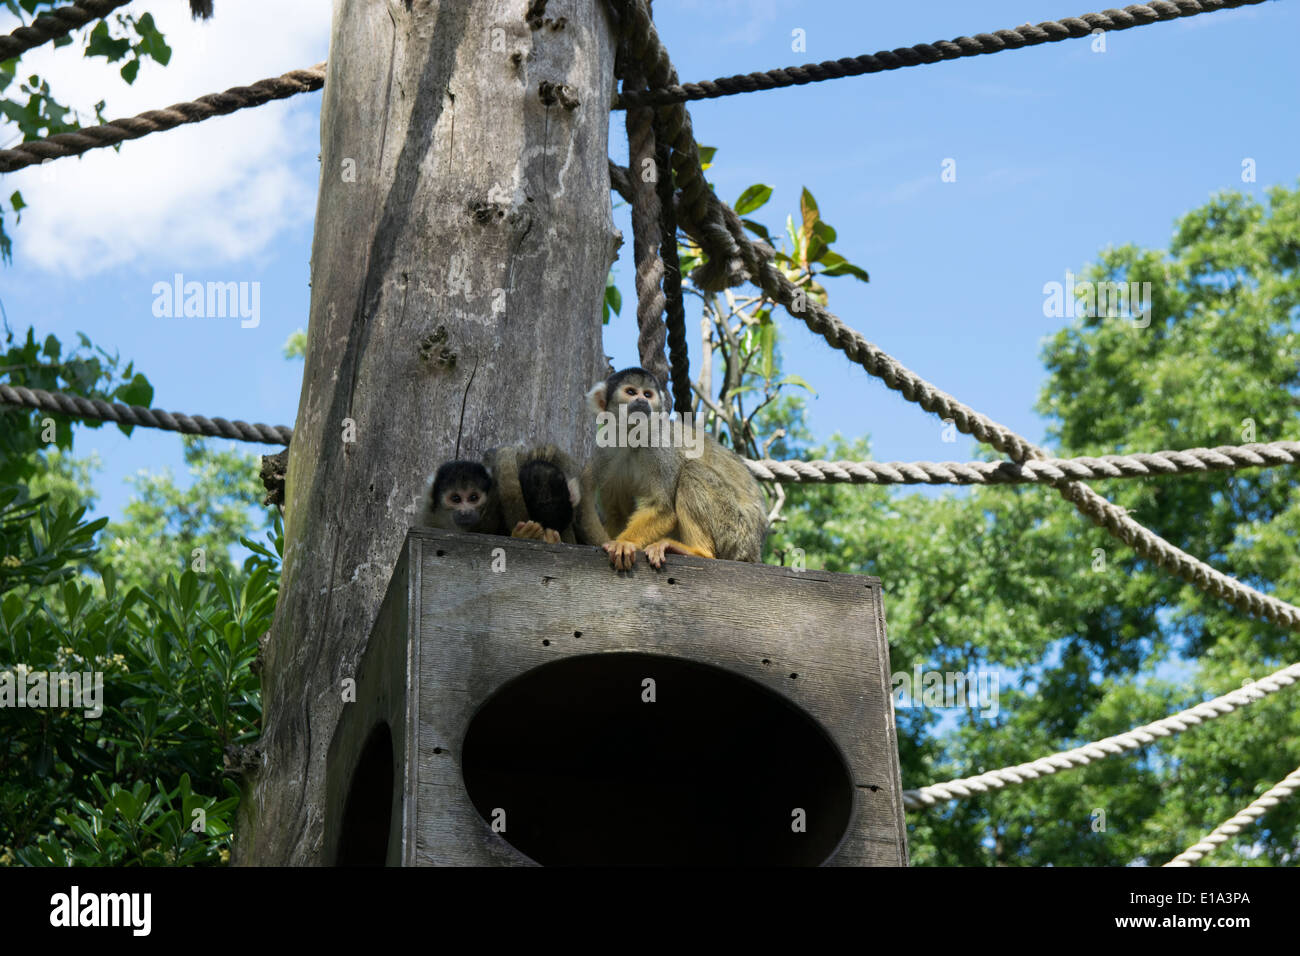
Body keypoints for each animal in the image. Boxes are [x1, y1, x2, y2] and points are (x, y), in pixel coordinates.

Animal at [586, 367, 768, 571]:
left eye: (647, 394)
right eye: (631, 392)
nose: (642, 401)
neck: (630, 436)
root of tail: (755, 551)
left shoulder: (659, 446)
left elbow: (662, 508)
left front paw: (624, 543)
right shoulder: (604, 451)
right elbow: (616, 512)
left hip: (736, 533)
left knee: (692, 471)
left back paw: (699, 552)